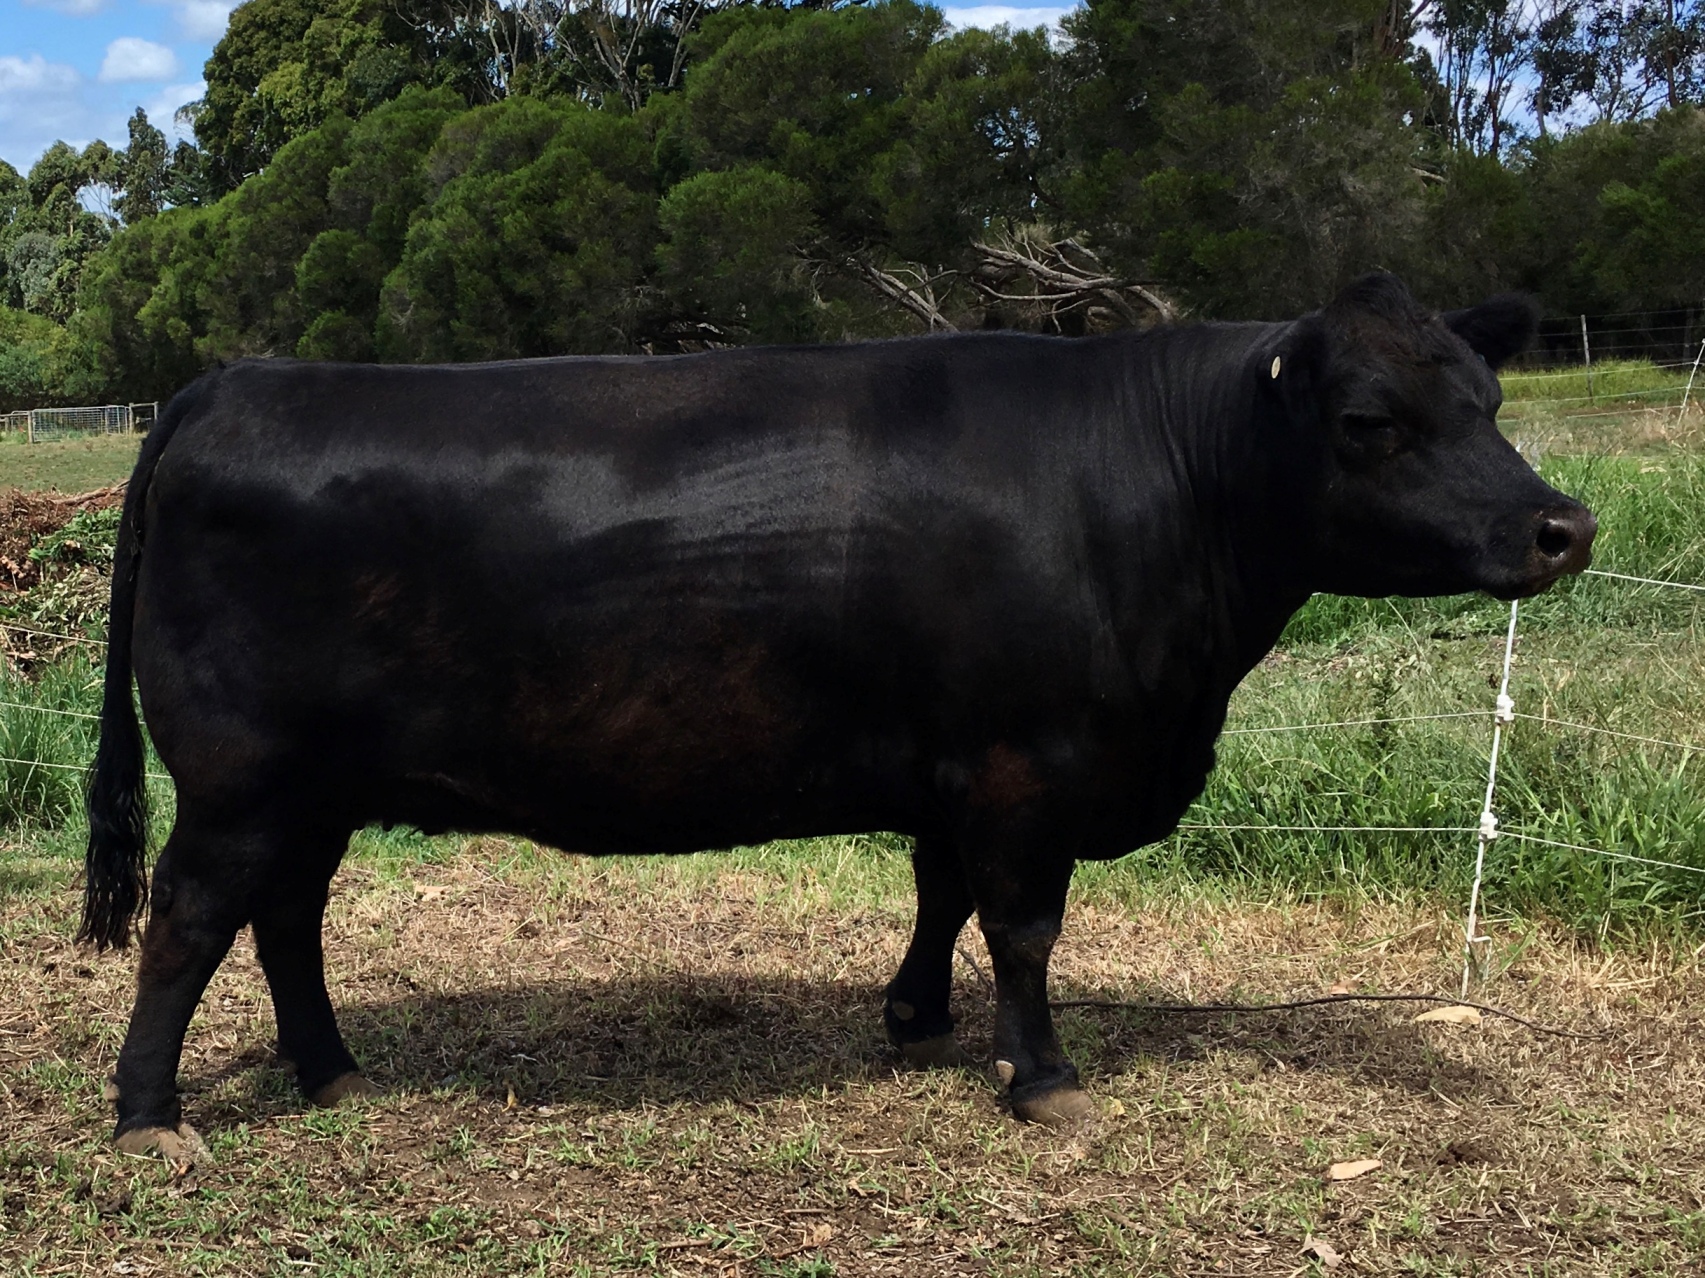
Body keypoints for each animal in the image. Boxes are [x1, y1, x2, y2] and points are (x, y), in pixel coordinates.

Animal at [80, 273, 1594, 1159]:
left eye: (1488, 399)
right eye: (1367, 420)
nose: (1562, 526)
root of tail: (234, 381)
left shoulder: (953, 761)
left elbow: (940, 895)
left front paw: (917, 1016)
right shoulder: (1025, 762)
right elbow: (1025, 927)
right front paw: (1042, 1077)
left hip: (313, 789)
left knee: (285, 920)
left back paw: (330, 1070)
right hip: (240, 778)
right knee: (189, 923)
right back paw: (152, 1115)